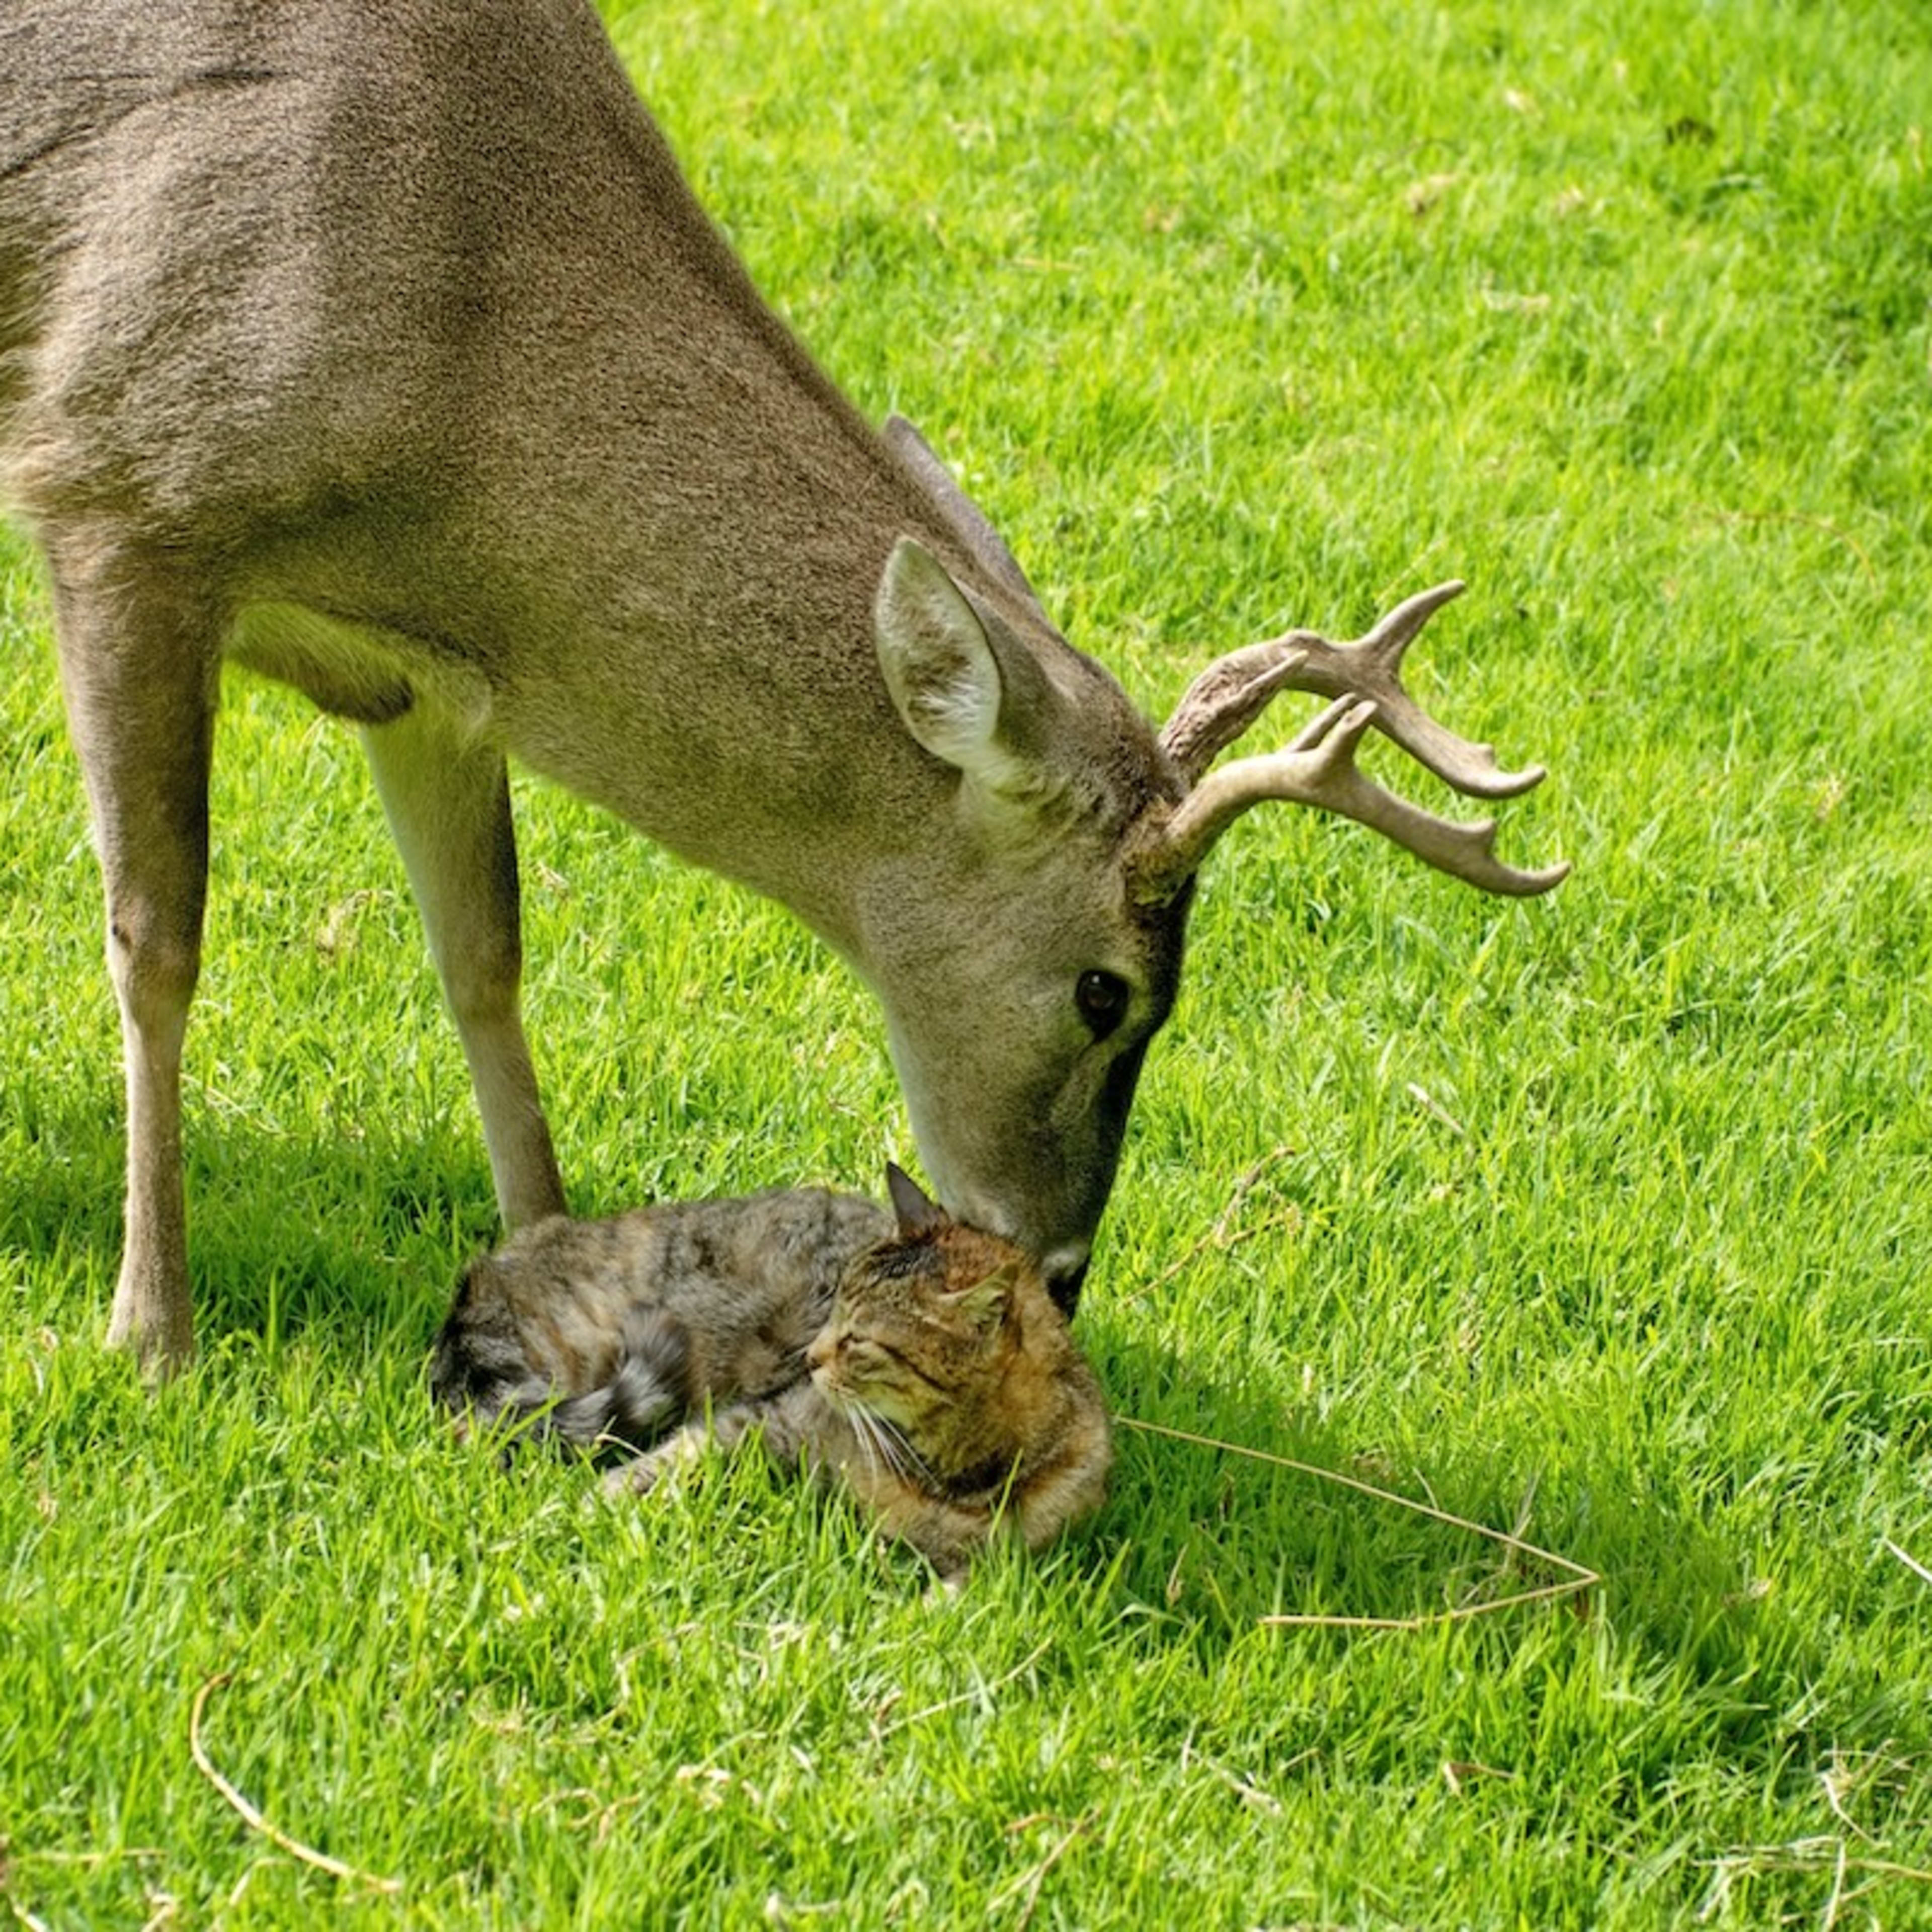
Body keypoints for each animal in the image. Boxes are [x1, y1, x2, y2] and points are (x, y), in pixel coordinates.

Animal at [0, 0, 1566, 1375]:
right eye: (1108, 992)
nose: (1063, 1268)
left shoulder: (422, 680)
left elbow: (484, 957)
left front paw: (553, 1276)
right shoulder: (121, 494)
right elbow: (157, 938)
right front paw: (151, 1331)